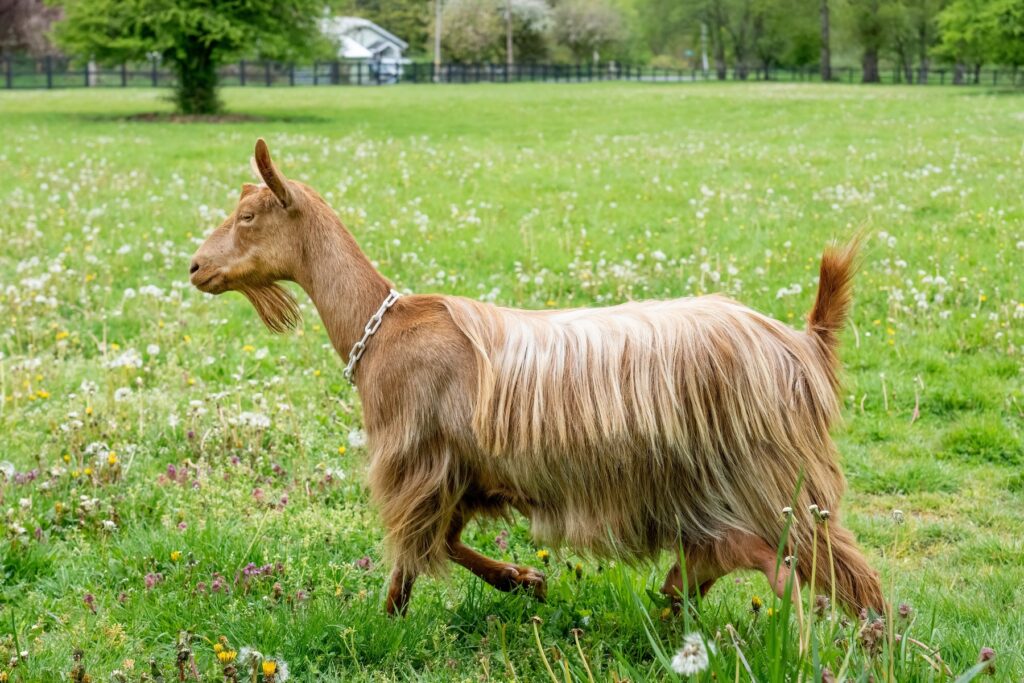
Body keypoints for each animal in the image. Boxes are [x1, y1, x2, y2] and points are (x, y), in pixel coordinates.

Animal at [190, 138, 884, 616]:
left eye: (248, 217)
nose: (196, 267)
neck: (382, 327)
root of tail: (803, 342)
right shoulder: (467, 473)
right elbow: (445, 542)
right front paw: (525, 580)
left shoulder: (418, 460)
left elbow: (414, 551)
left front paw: (384, 620)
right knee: (740, 557)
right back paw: (676, 605)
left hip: (773, 478)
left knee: (843, 574)